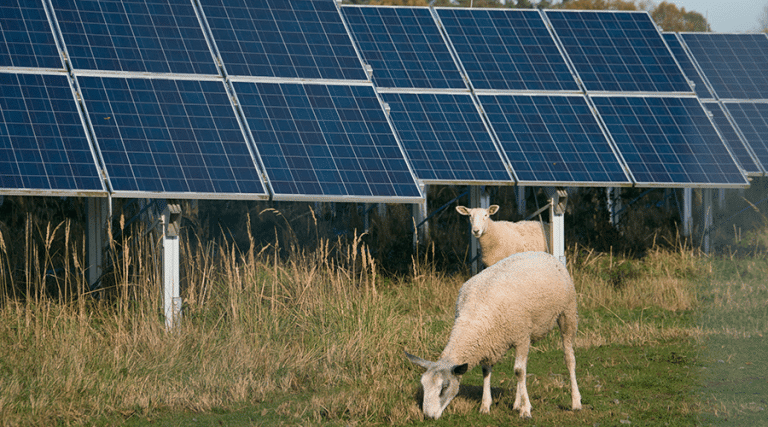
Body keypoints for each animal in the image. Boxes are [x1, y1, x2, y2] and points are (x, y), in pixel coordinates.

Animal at [405, 251, 582, 419]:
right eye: (423, 386)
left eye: (445, 387)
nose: (429, 416)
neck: (473, 318)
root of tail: (543, 253)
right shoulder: (488, 341)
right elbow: (488, 371)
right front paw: (485, 406)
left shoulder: (521, 336)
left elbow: (519, 371)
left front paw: (525, 411)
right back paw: (517, 403)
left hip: (567, 312)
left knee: (568, 358)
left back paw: (575, 402)